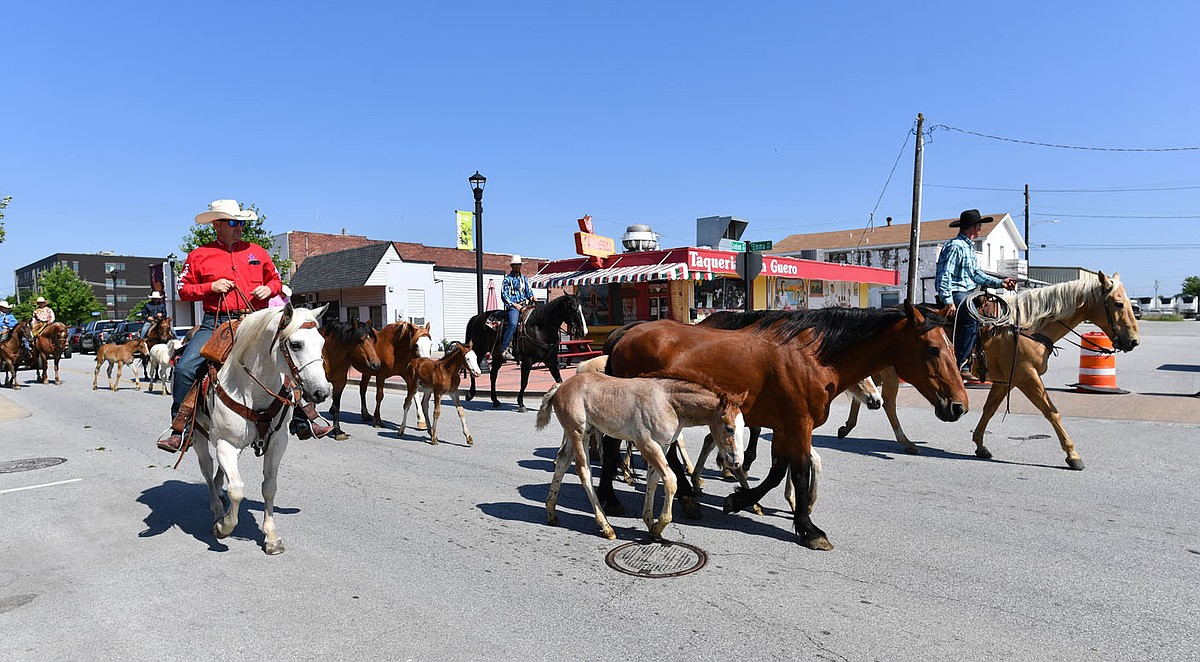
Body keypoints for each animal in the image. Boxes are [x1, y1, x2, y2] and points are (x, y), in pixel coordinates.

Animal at [188, 303, 331, 555]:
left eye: (322, 343)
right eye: (296, 344)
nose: (322, 392)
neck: (253, 390)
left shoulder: (277, 442)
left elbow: (269, 487)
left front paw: (271, 537)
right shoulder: (226, 444)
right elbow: (237, 490)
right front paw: (224, 526)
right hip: (199, 437)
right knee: (207, 469)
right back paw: (217, 511)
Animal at [537, 371, 747, 540]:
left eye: (744, 427)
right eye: (729, 428)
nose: (736, 462)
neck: (667, 402)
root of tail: (560, 386)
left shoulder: (662, 446)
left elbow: (653, 479)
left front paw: (650, 525)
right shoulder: (647, 444)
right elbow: (670, 480)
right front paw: (660, 524)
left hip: (582, 433)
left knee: (562, 462)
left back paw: (551, 512)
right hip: (578, 433)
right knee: (584, 471)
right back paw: (606, 526)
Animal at [604, 303, 968, 550]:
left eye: (951, 347)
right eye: (933, 349)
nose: (958, 406)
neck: (813, 359)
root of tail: (627, 333)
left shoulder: (783, 427)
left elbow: (779, 471)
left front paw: (740, 500)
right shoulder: (798, 425)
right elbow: (801, 472)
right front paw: (809, 529)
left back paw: (686, 497)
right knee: (612, 446)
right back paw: (613, 498)